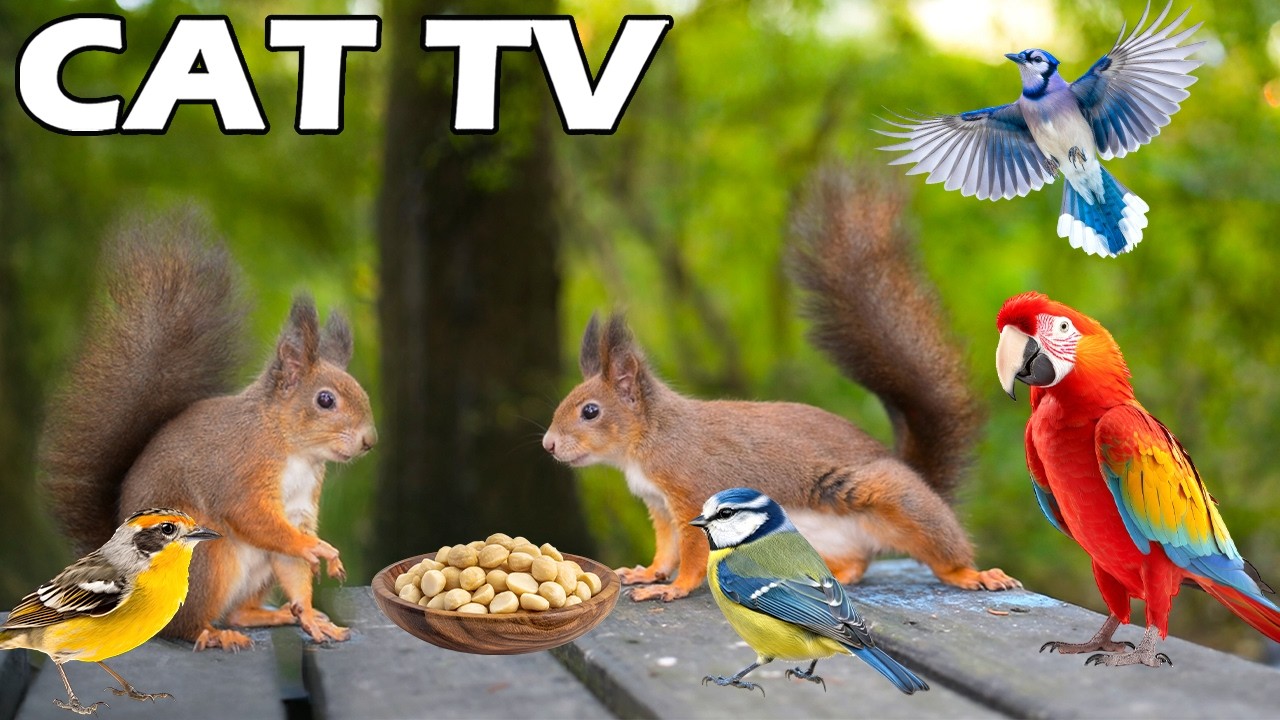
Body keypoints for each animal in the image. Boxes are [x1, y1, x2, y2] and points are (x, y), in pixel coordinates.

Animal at [39, 210, 377, 650]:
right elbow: (252, 516)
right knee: (184, 625)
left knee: (237, 610)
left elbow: (290, 560)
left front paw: (313, 613)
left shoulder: (300, 507)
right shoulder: (241, 471)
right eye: (325, 400)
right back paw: (213, 634)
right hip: (208, 559)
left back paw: (275, 614)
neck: (291, 448)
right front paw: (318, 548)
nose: (370, 441)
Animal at [541, 167, 1019, 602]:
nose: (548, 444)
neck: (649, 439)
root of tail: (913, 473)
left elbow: (691, 552)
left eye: (590, 411)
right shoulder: (659, 505)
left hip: (895, 500)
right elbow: (666, 547)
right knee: (858, 562)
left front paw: (674, 587)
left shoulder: (691, 492)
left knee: (941, 548)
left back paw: (972, 573)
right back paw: (834, 574)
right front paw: (648, 572)